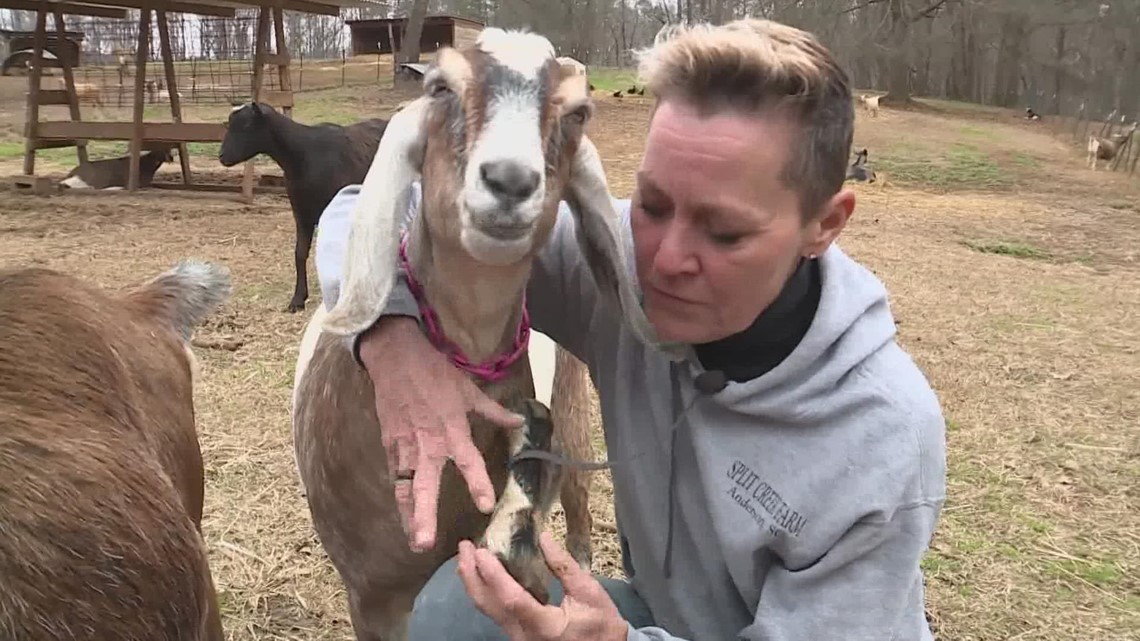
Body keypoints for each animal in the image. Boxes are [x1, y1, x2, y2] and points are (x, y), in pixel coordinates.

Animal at [218, 101, 388, 314]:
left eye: (247, 125)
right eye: (228, 124)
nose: (222, 156)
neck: (303, 156)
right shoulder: (301, 213)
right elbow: (300, 253)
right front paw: (297, 299)